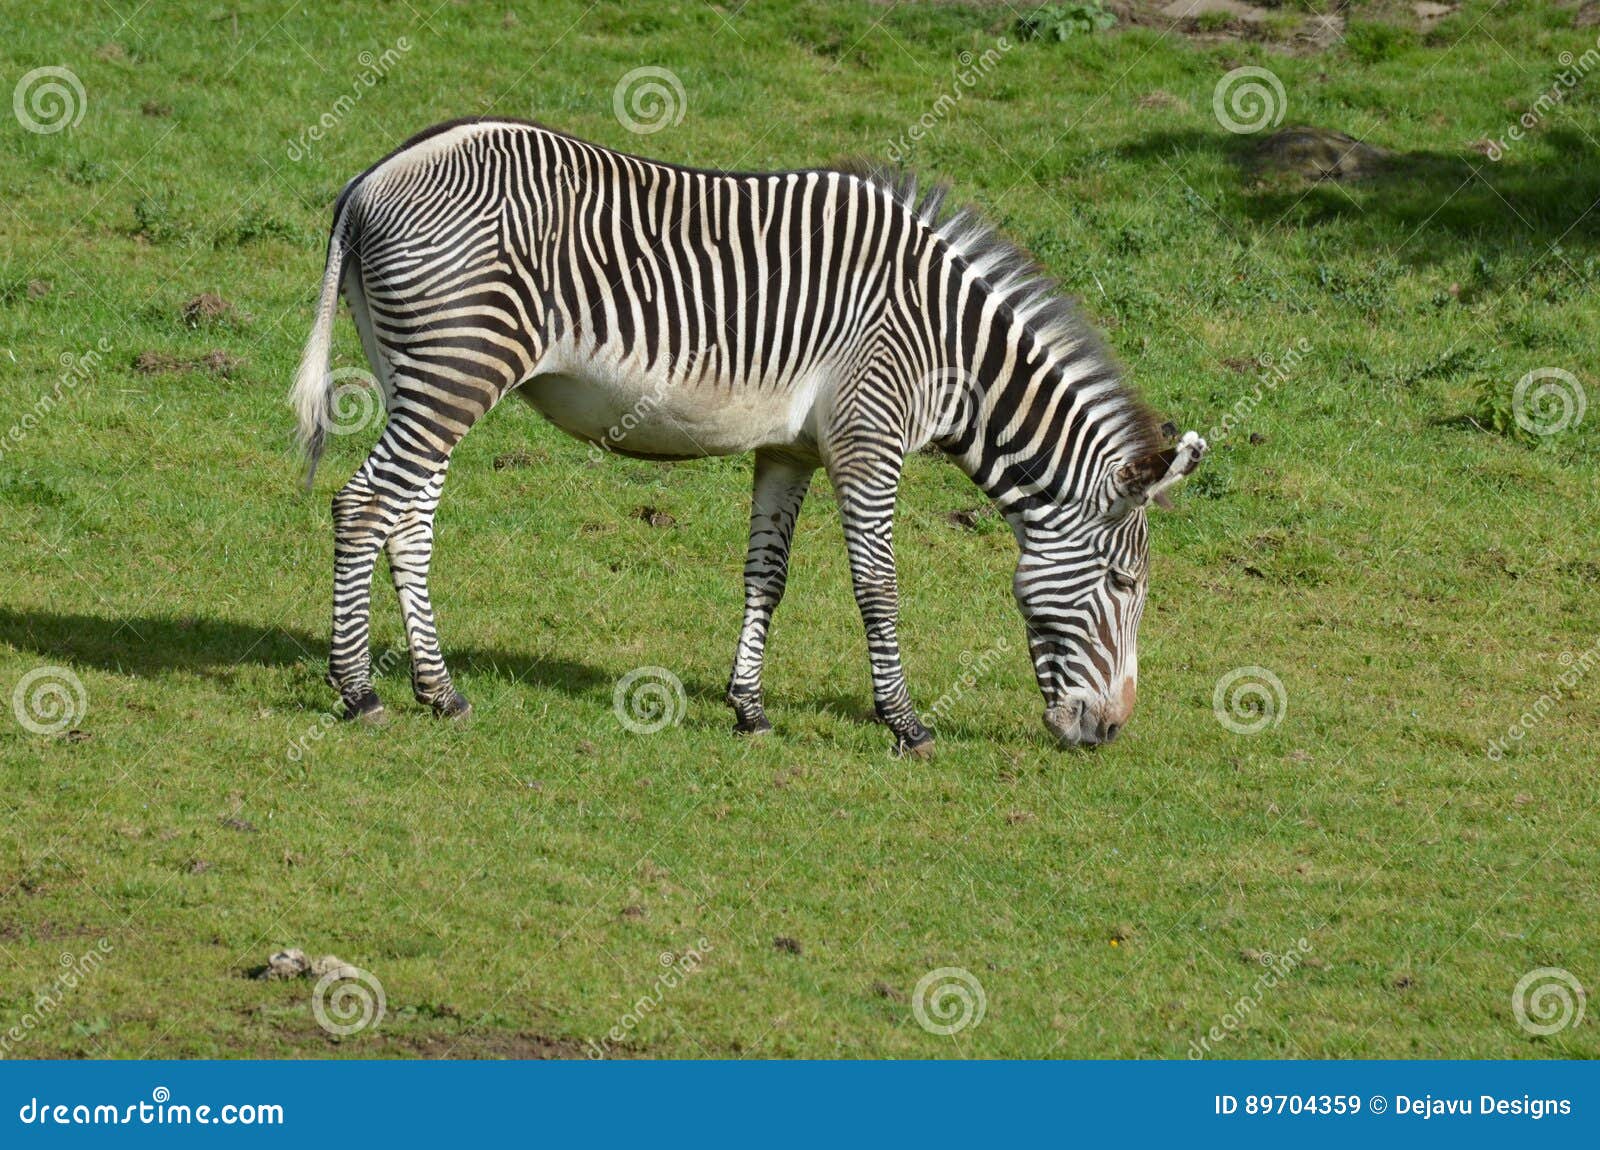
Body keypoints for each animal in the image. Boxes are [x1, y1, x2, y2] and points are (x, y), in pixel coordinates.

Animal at [291, 118, 1205, 753]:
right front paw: (905, 724)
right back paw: (358, 692)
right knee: (362, 507)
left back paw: (439, 691)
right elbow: (879, 586)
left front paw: (750, 710)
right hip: (457, 369)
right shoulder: (869, 440)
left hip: (422, 375)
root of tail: (371, 179)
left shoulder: (789, 448)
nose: (1110, 732)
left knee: (408, 521)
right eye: (1126, 584)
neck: (951, 348)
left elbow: (767, 576)